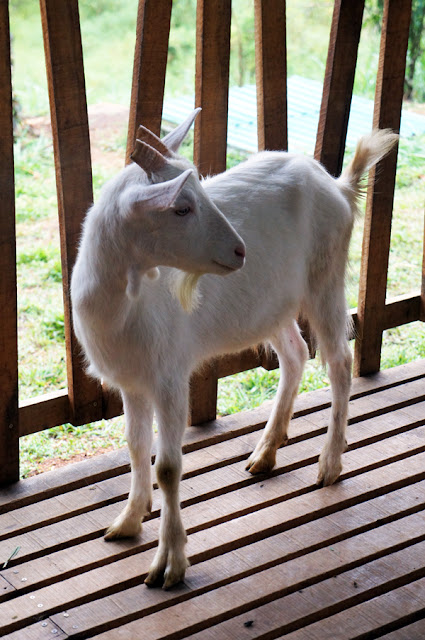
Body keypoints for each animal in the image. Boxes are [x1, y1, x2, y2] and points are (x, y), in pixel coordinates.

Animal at [71, 109, 398, 589]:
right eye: (181, 207)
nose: (241, 251)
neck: (125, 305)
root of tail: (337, 186)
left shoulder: (170, 376)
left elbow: (168, 467)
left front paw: (170, 564)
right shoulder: (132, 380)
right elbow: (135, 445)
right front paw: (128, 521)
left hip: (325, 278)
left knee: (340, 360)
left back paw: (330, 464)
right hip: (272, 305)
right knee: (295, 354)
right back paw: (265, 452)